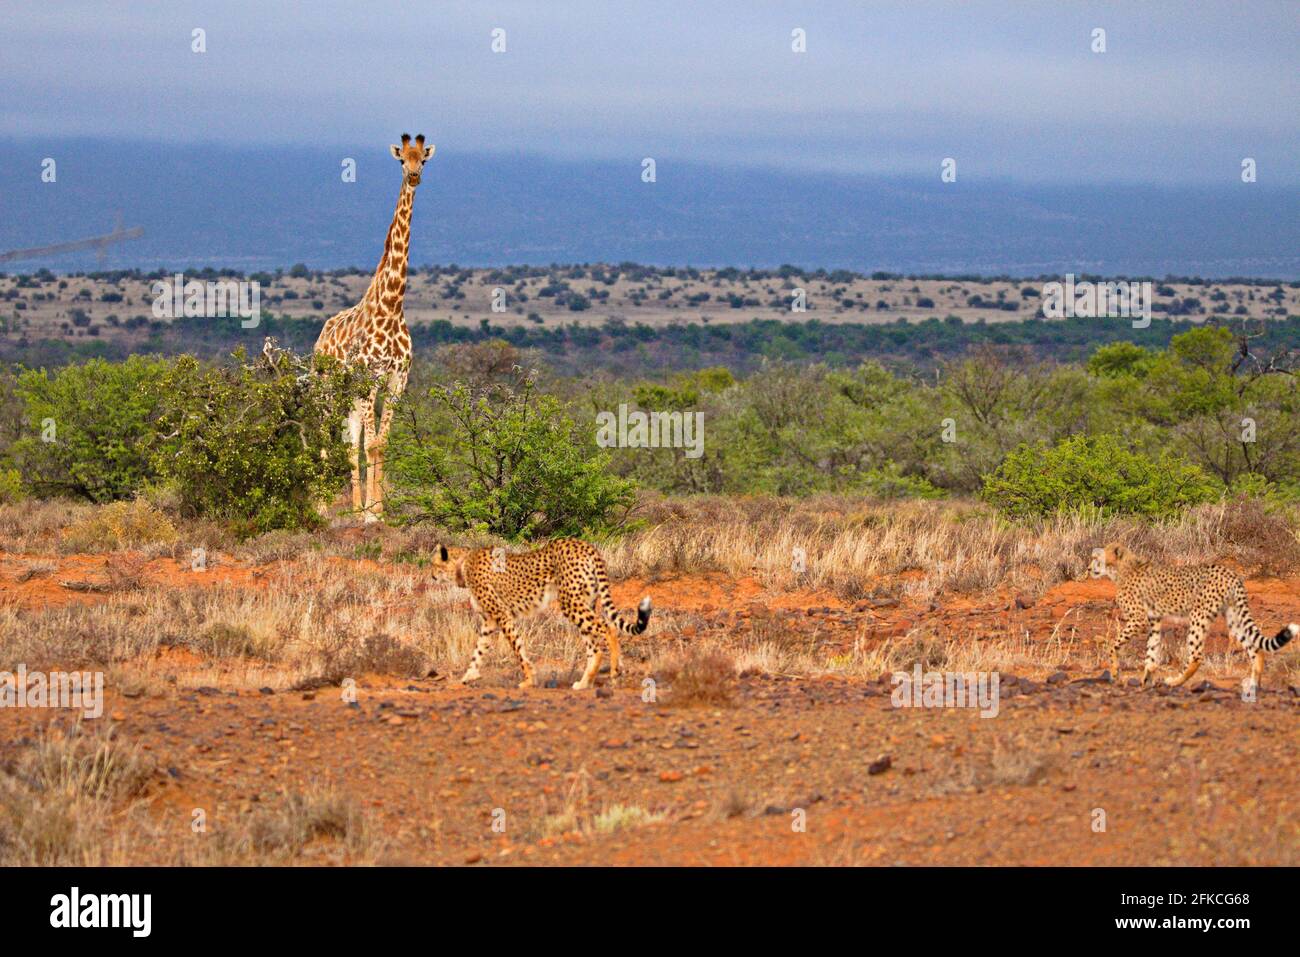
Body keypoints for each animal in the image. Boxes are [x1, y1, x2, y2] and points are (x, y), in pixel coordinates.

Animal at [314, 132, 433, 521]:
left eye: (423, 160)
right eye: (402, 161)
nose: (414, 177)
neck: (392, 306)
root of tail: (320, 337)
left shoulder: (396, 381)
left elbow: (380, 443)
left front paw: (377, 511)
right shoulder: (369, 379)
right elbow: (371, 445)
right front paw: (370, 513)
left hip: (351, 393)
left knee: (350, 441)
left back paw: (351, 507)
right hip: (328, 388)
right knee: (326, 436)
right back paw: (323, 508)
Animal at [430, 539, 652, 690]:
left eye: (433, 565)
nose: (431, 575)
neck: (463, 563)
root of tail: (583, 544)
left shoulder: (502, 615)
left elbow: (517, 649)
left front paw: (528, 680)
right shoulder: (490, 621)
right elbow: (479, 649)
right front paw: (469, 675)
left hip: (570, 603)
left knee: (608, 627)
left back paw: (614, 669)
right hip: (584, 601)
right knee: (594, 647)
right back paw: (585, 682)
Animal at [1090, 542, 1296, 690]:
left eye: (1096, 558)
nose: (1089, 568)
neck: (1122, 568)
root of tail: (1230, 573)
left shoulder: (1138, 619)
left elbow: (1113, 644)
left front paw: (1115, 672)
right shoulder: (1154, 621)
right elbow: (1151, 652)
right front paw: (1146, 679)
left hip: (1198, 616)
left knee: (1196, 656)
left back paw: (1174, 682)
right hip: (1234, 617)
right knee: (1255, 648)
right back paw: (1254, 684)